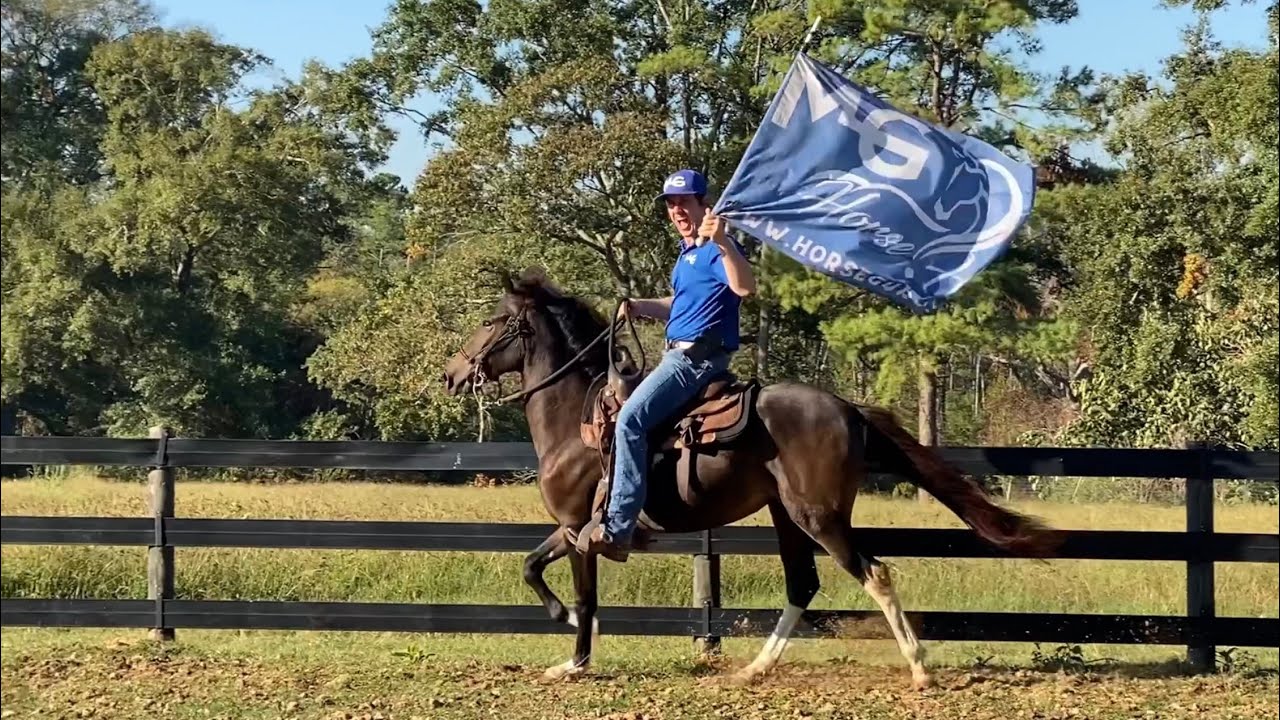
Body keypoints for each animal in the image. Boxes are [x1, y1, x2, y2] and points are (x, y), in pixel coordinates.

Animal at [440, 267, 1060, 689]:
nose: (451, 373)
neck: (578, 420)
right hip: (787, 515)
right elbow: (530, 566)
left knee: (876, 574)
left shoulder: (581, 530)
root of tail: (848, 409)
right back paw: (756, 668)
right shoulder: (573, 526)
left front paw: (575, 659)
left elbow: (585, 596)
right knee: (802, 585)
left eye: (491, 321)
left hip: (819, 516)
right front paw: (562, 623)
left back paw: (919, 669)